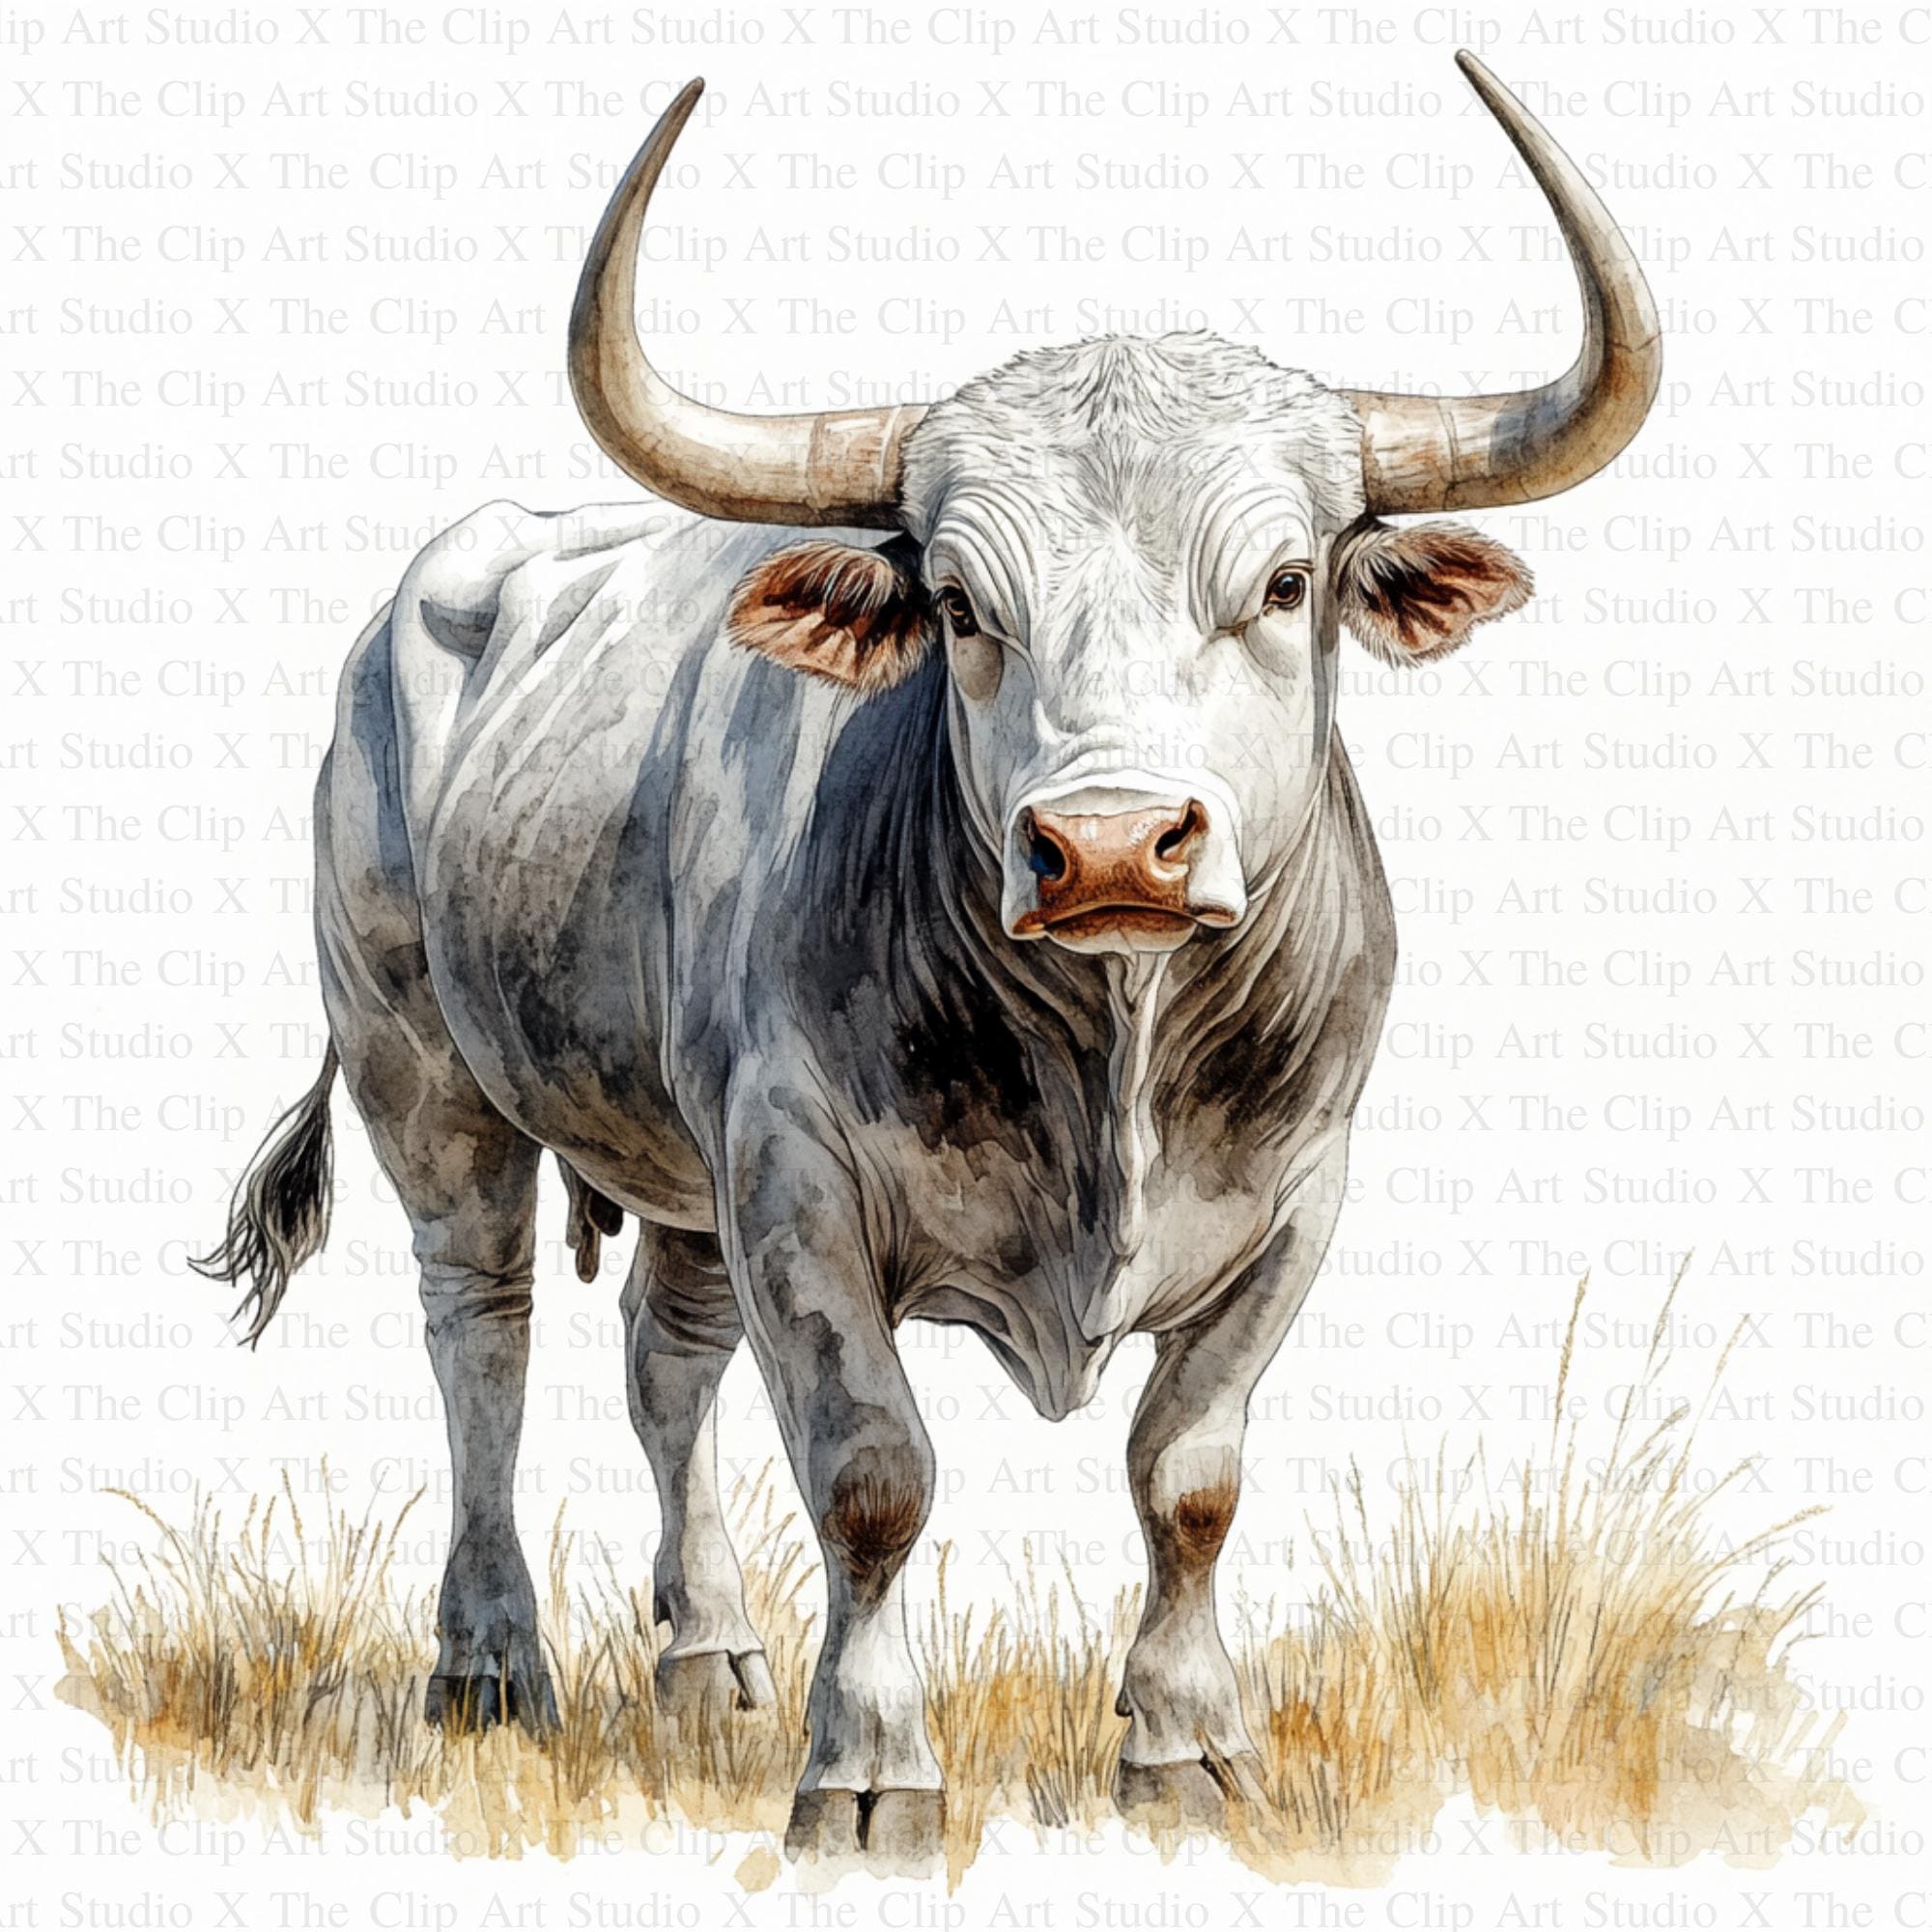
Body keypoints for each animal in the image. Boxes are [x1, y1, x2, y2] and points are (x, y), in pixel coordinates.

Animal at [196, 53, 1658, 1869]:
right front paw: (871, 1771)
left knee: (665, 1360)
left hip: (682, 1166)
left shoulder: (1295, 1199)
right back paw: (487, 1664)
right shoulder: (799, 1187)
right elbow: (873, 1476)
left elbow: (1190, 1476)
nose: (1108, 847)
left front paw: (1187, 1750)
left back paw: (710, 1658)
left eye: (1283, 581)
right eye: (961, 603)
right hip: (425, 1074)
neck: (1109, 1065)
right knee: (483, 1332)